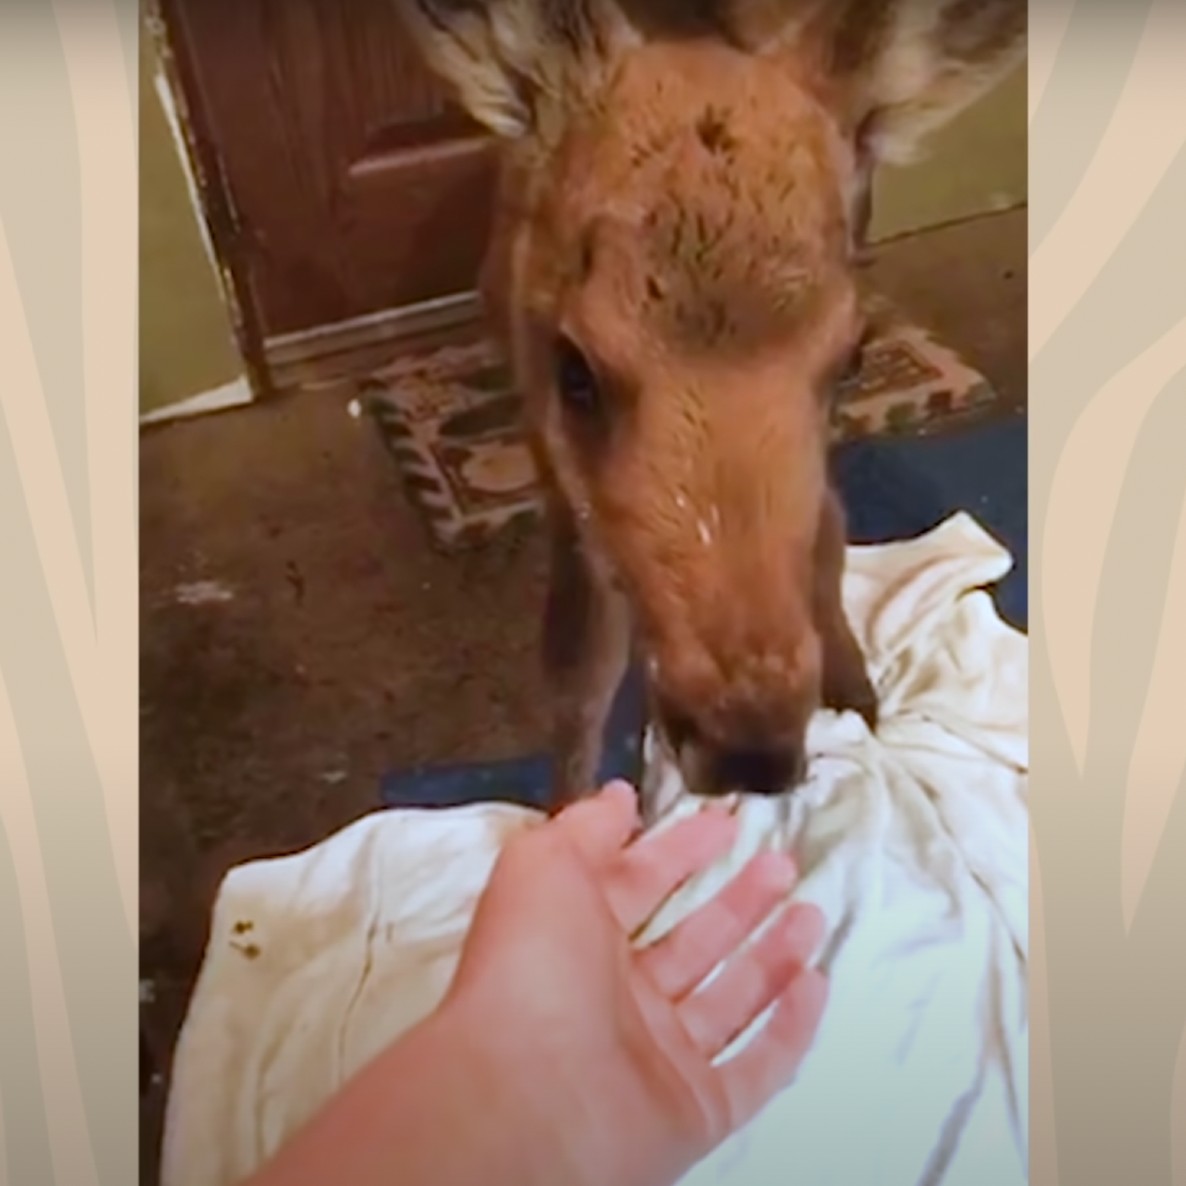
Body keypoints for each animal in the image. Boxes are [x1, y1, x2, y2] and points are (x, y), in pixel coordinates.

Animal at [396, 0, 1025, 819]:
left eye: (853, 356)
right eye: (574, 367)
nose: (748, 747)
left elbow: (823, 526)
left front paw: (852, 693)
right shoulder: (556, 462)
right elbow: (578, 659)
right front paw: (574, 814)